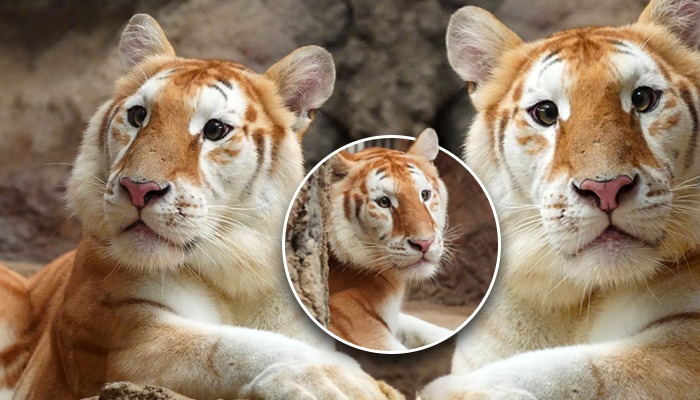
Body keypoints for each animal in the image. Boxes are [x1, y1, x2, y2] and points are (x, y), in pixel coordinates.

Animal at [1, 14, 403, 400]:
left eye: (215, 130)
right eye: (138, 116)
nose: (138, 189)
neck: (234, 279)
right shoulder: (118, 335)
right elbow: (229, 346)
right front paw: (346, 382)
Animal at [421, 0, 700, 398]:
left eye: (643, 99)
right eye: (546, 112)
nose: (606, 188)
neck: (573, 300)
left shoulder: (685, 338)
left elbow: (586, 369)